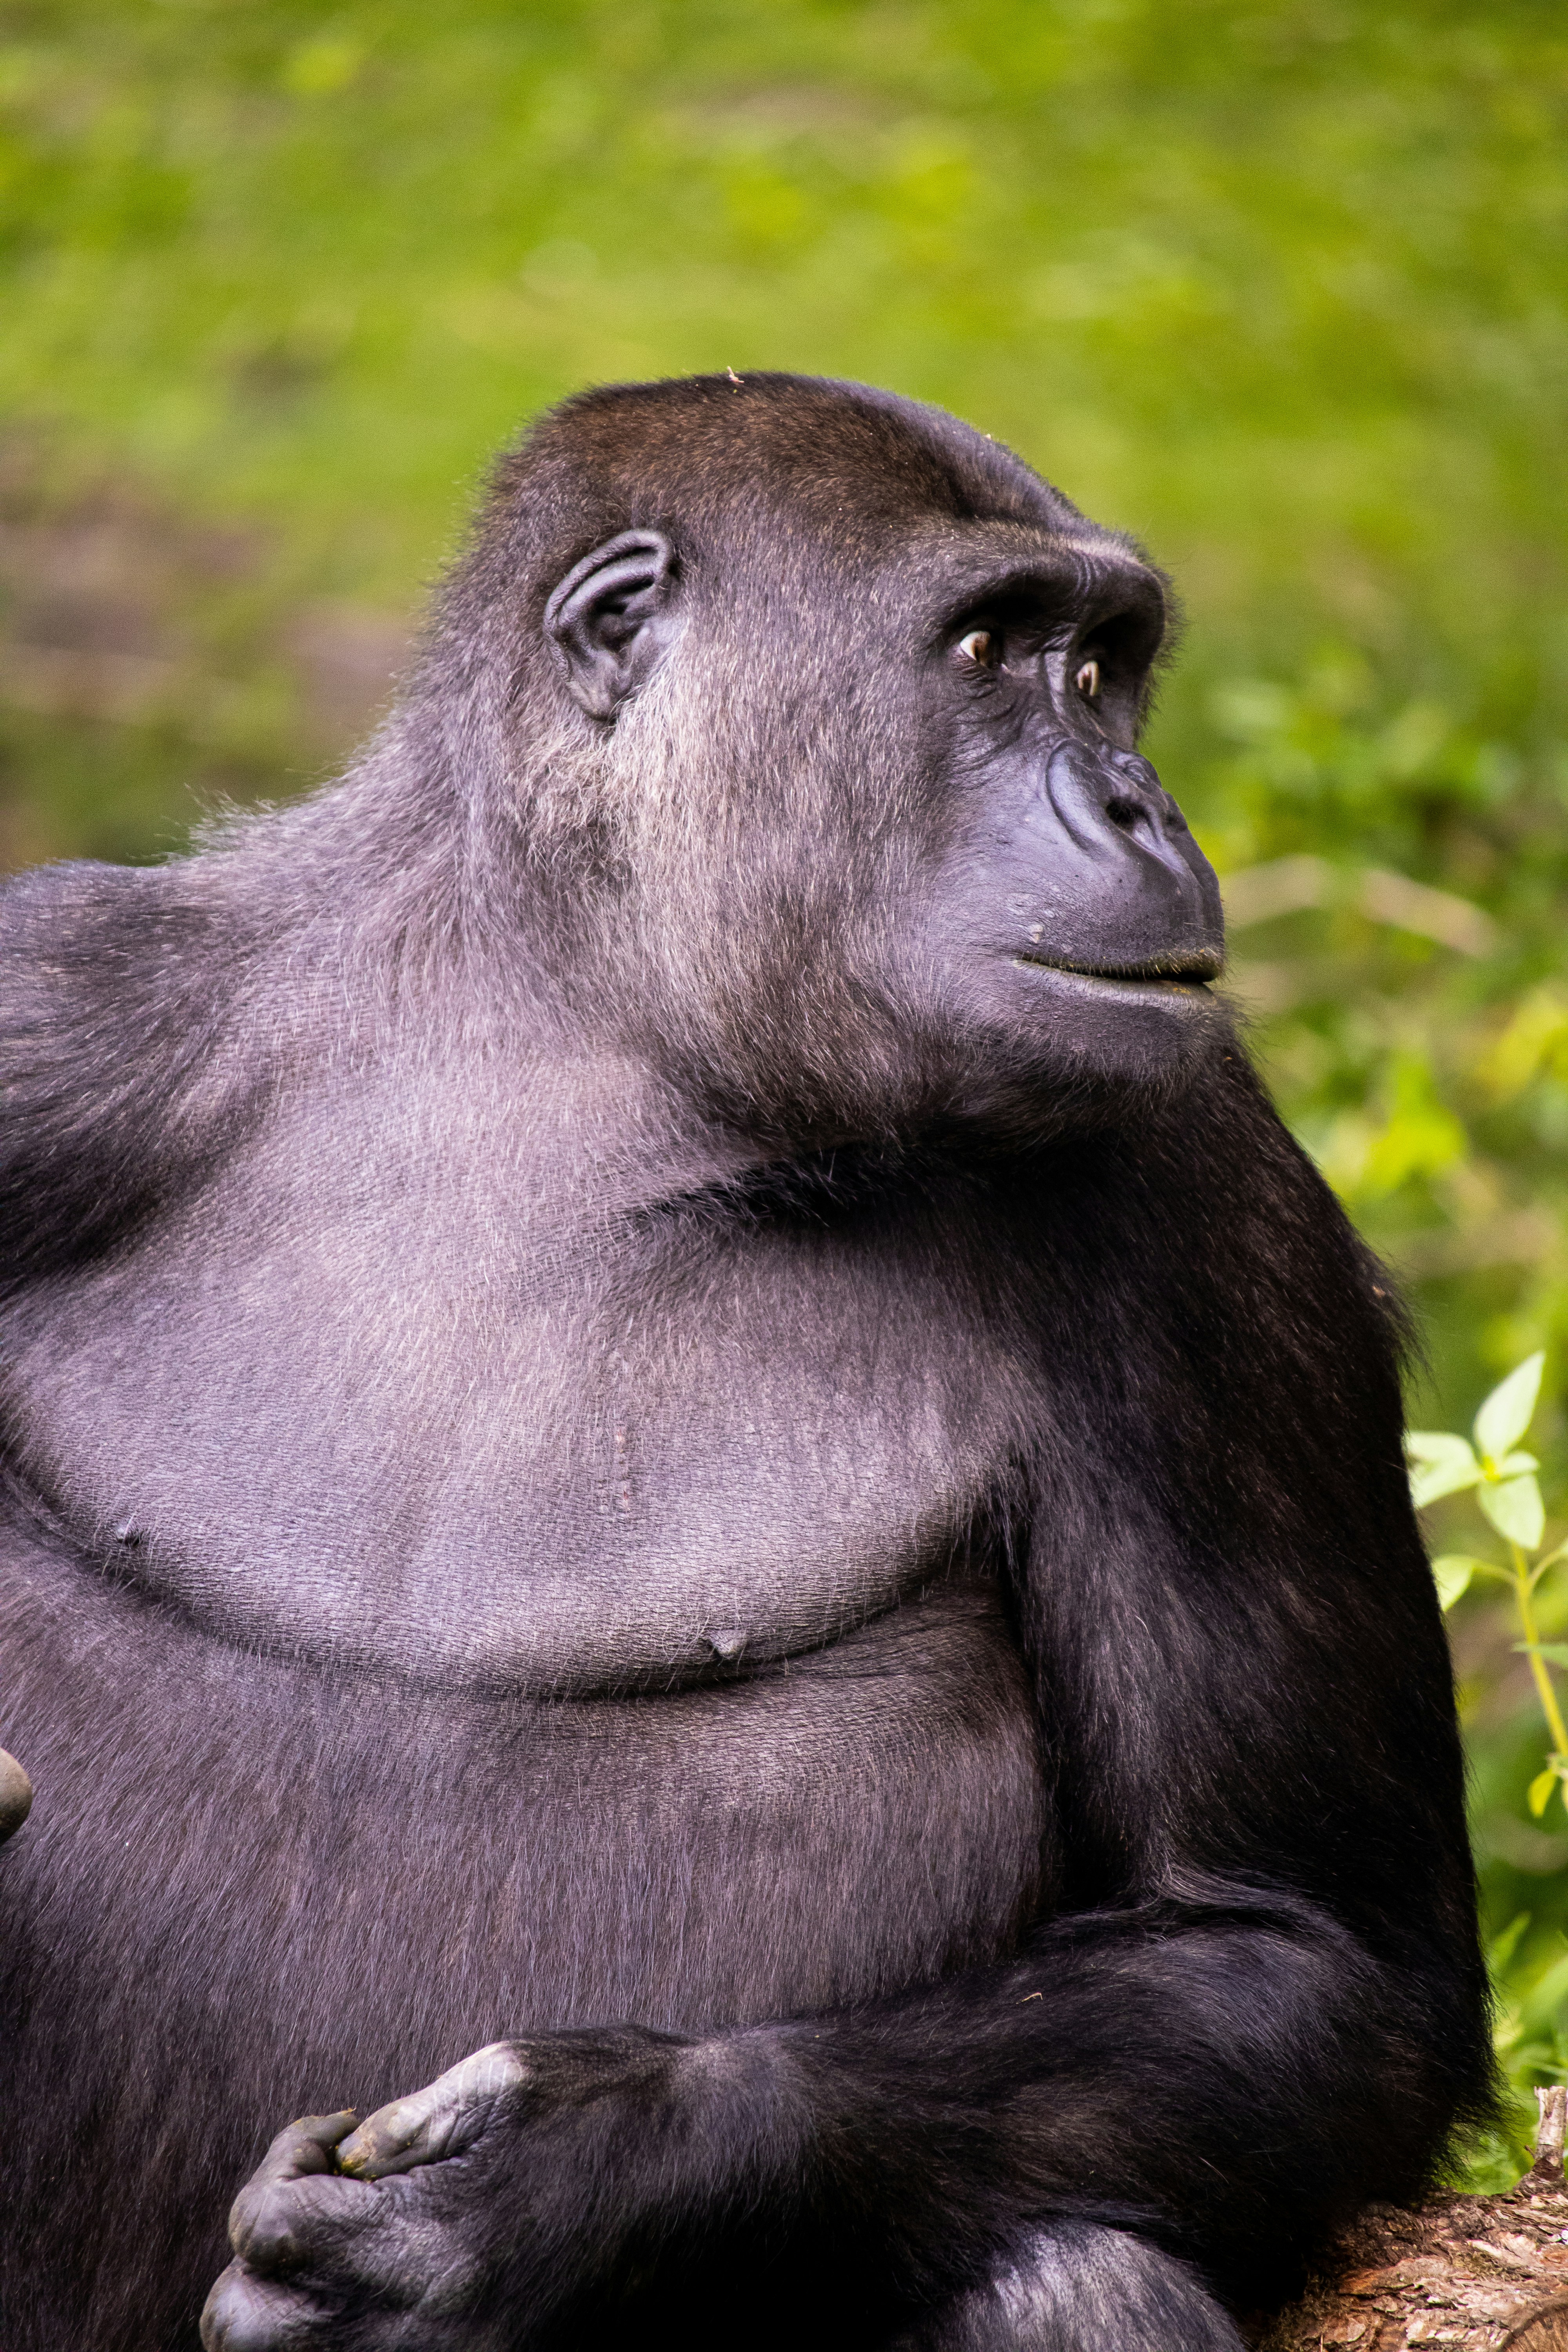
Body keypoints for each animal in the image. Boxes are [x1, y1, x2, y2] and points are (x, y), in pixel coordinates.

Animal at [0, 375, 1488, 2352]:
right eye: (987, 649)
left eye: (1104, 671)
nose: (1139, 801)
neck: (570, 1038)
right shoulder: (51, 1007)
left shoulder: (1194, 1189)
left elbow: (1296, 1946)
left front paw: (583, 2172)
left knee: (1065, 2265)